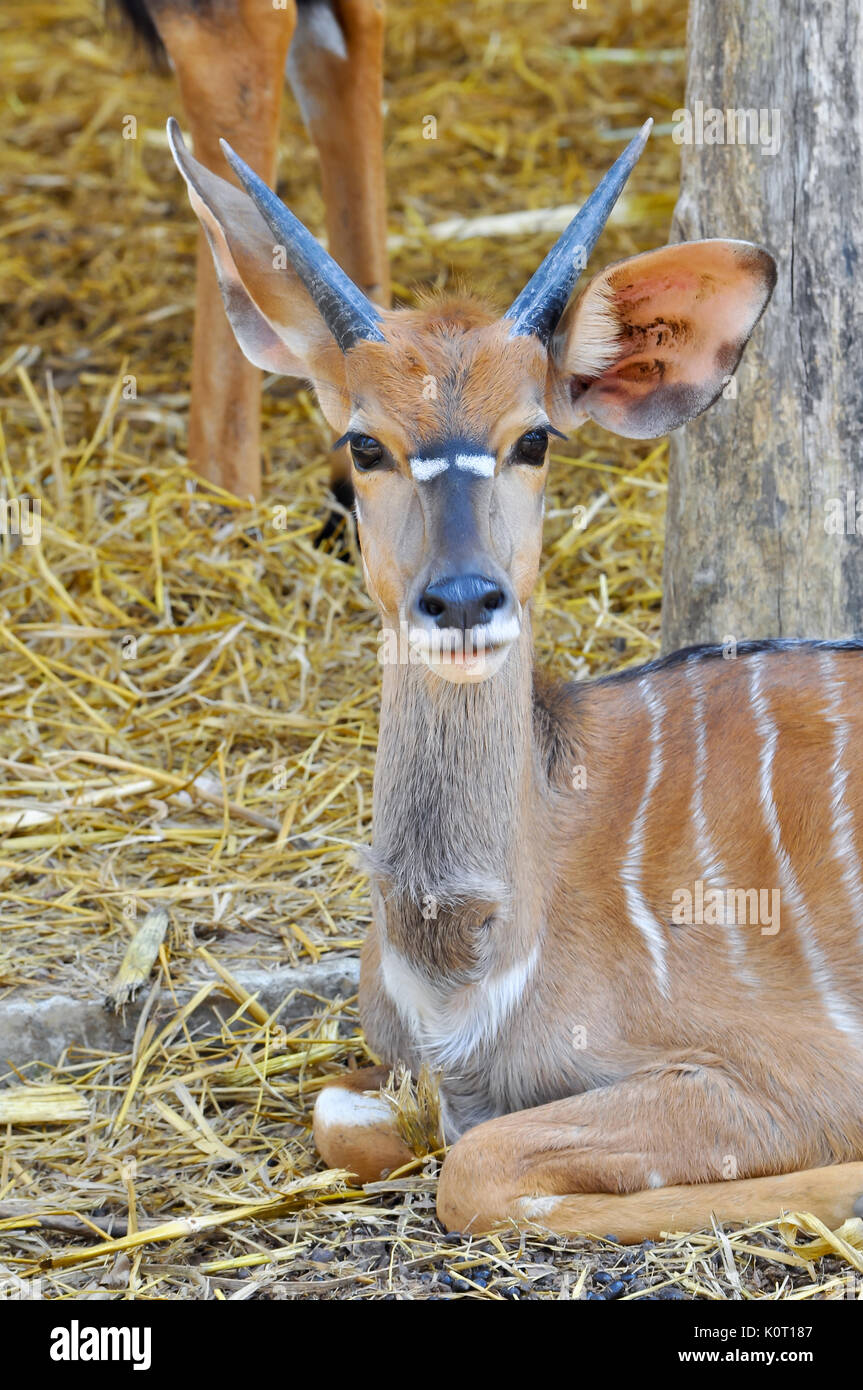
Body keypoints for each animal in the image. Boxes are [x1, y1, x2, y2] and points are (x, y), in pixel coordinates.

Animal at [168, 117, 863, 1242]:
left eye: (531, 436)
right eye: (364, 443)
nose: (461, 598)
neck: (470, 965)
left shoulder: (799, 1072)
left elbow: (479, 1166)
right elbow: (351, 1120)